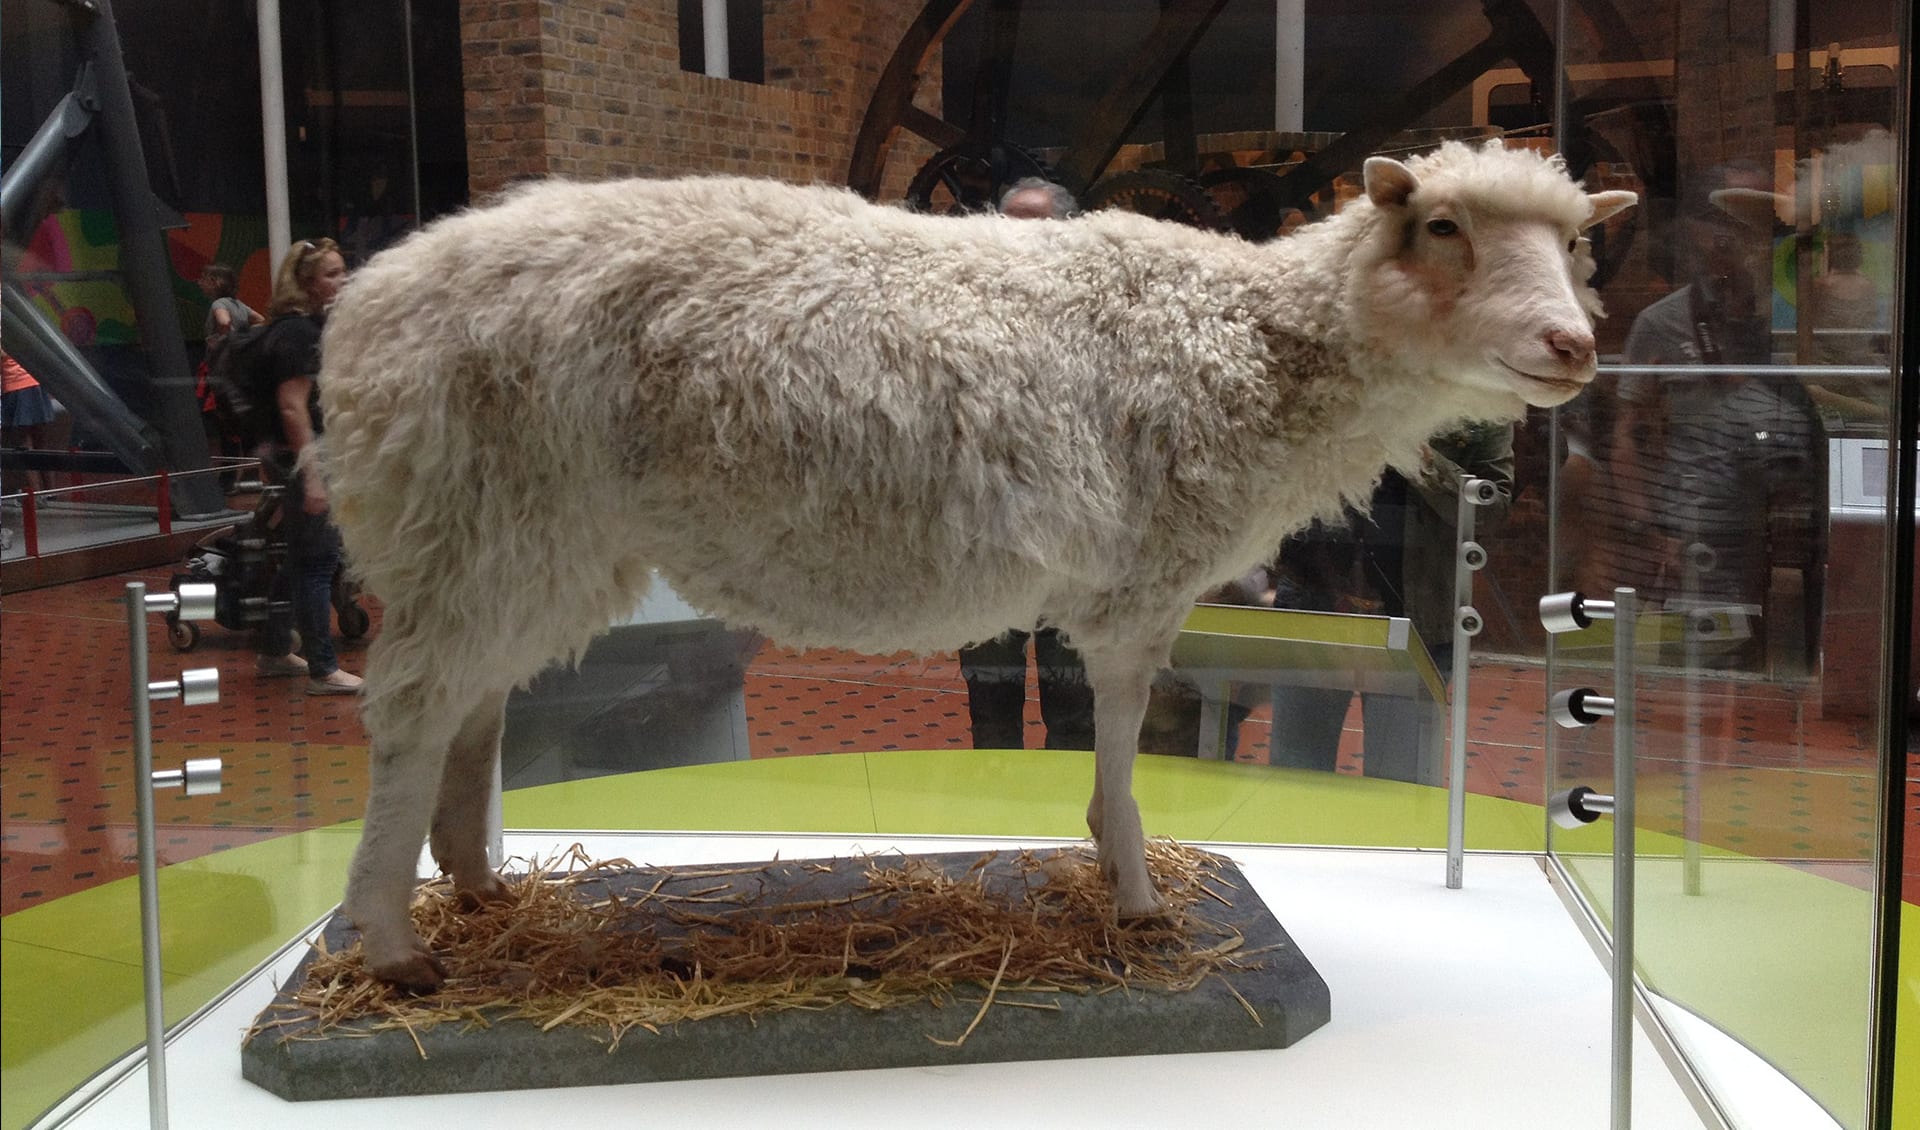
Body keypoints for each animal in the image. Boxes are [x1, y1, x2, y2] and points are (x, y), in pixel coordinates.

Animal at [317, 139, 1634, 989]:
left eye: (1579, 242)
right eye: (1445, 228)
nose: (1573, 345)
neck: (1252, 339)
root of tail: (365, 306)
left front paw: (1117, 870)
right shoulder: (1139, 575)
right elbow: (1120, 732)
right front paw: (1135, 890)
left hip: (523, 536)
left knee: (473, 704)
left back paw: (480, 889)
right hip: (484, 508)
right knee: (414, 709)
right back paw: (392, 940)